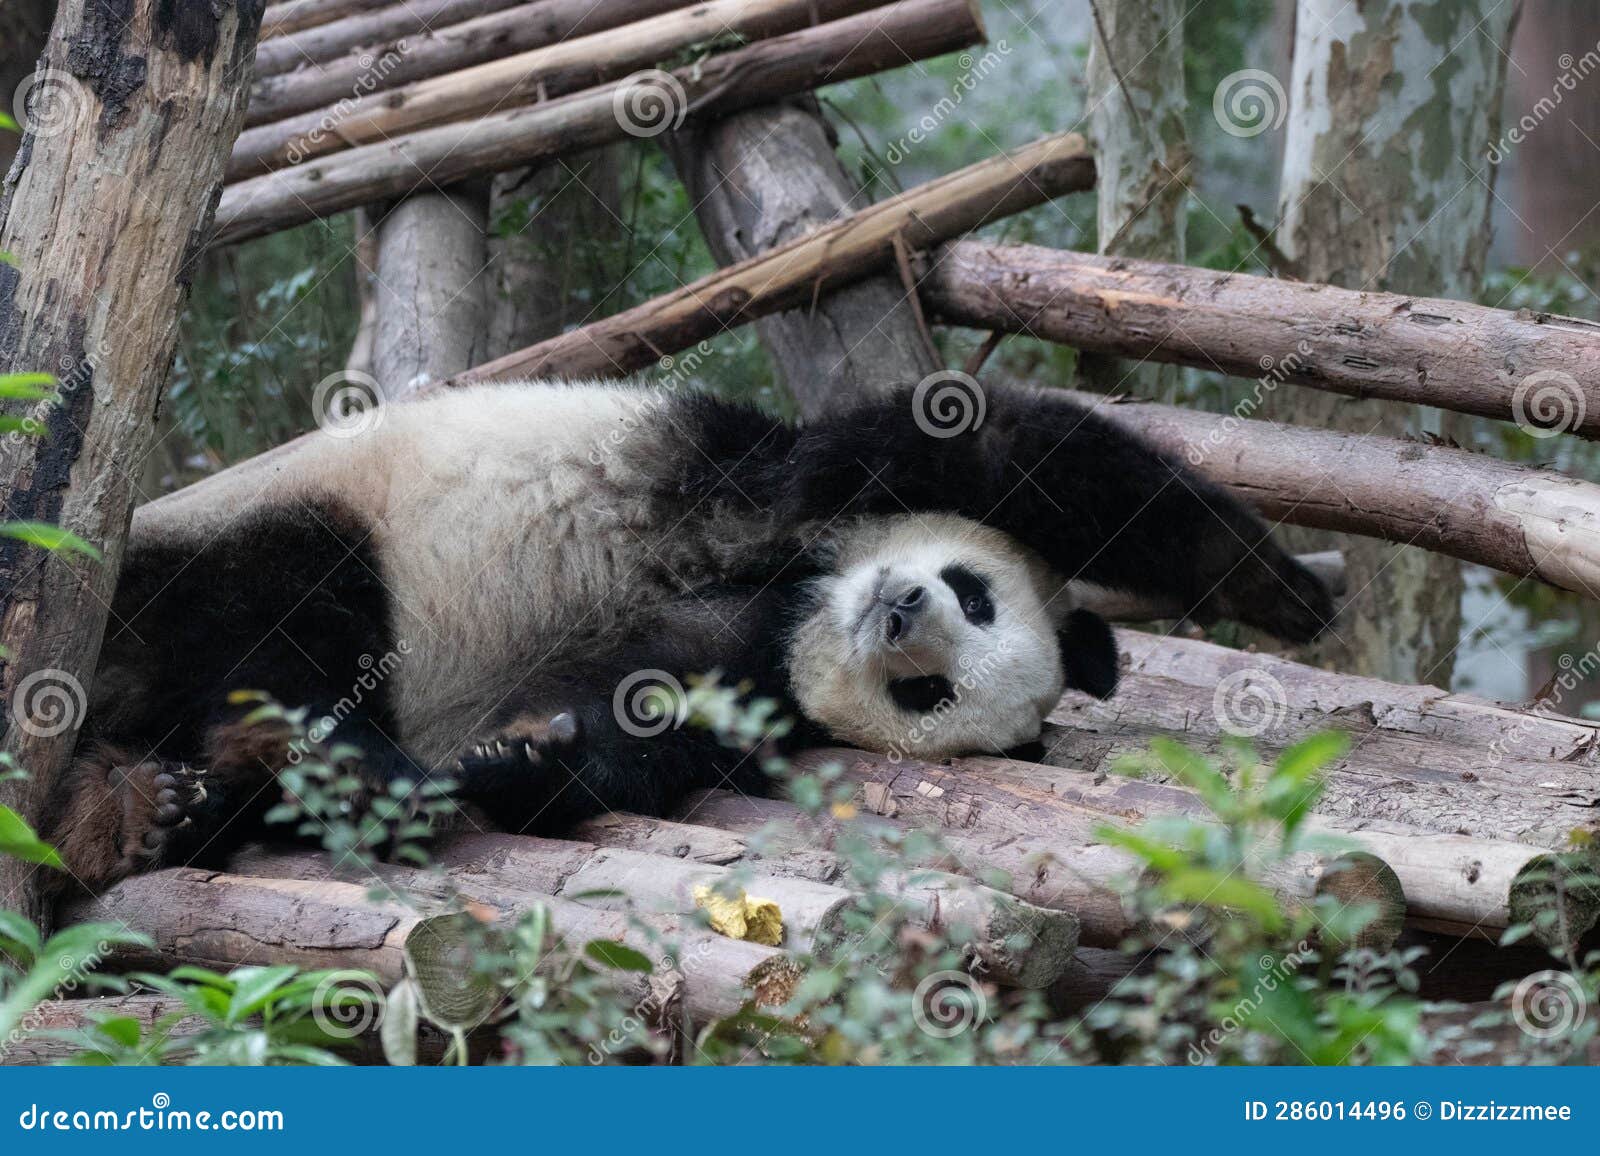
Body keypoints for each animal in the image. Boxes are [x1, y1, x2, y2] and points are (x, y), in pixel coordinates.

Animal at [45, 379, 1332, 893]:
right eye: (974, 595)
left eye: (929, 696)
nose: (899, 611)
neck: (798, 597)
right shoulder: (748, 482)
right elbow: (983, 442)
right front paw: (1272, 584)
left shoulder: (732, 672)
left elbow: (630, 735)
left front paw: (517, 757)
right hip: (244, 532)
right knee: (294, 608)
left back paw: (152, 808)